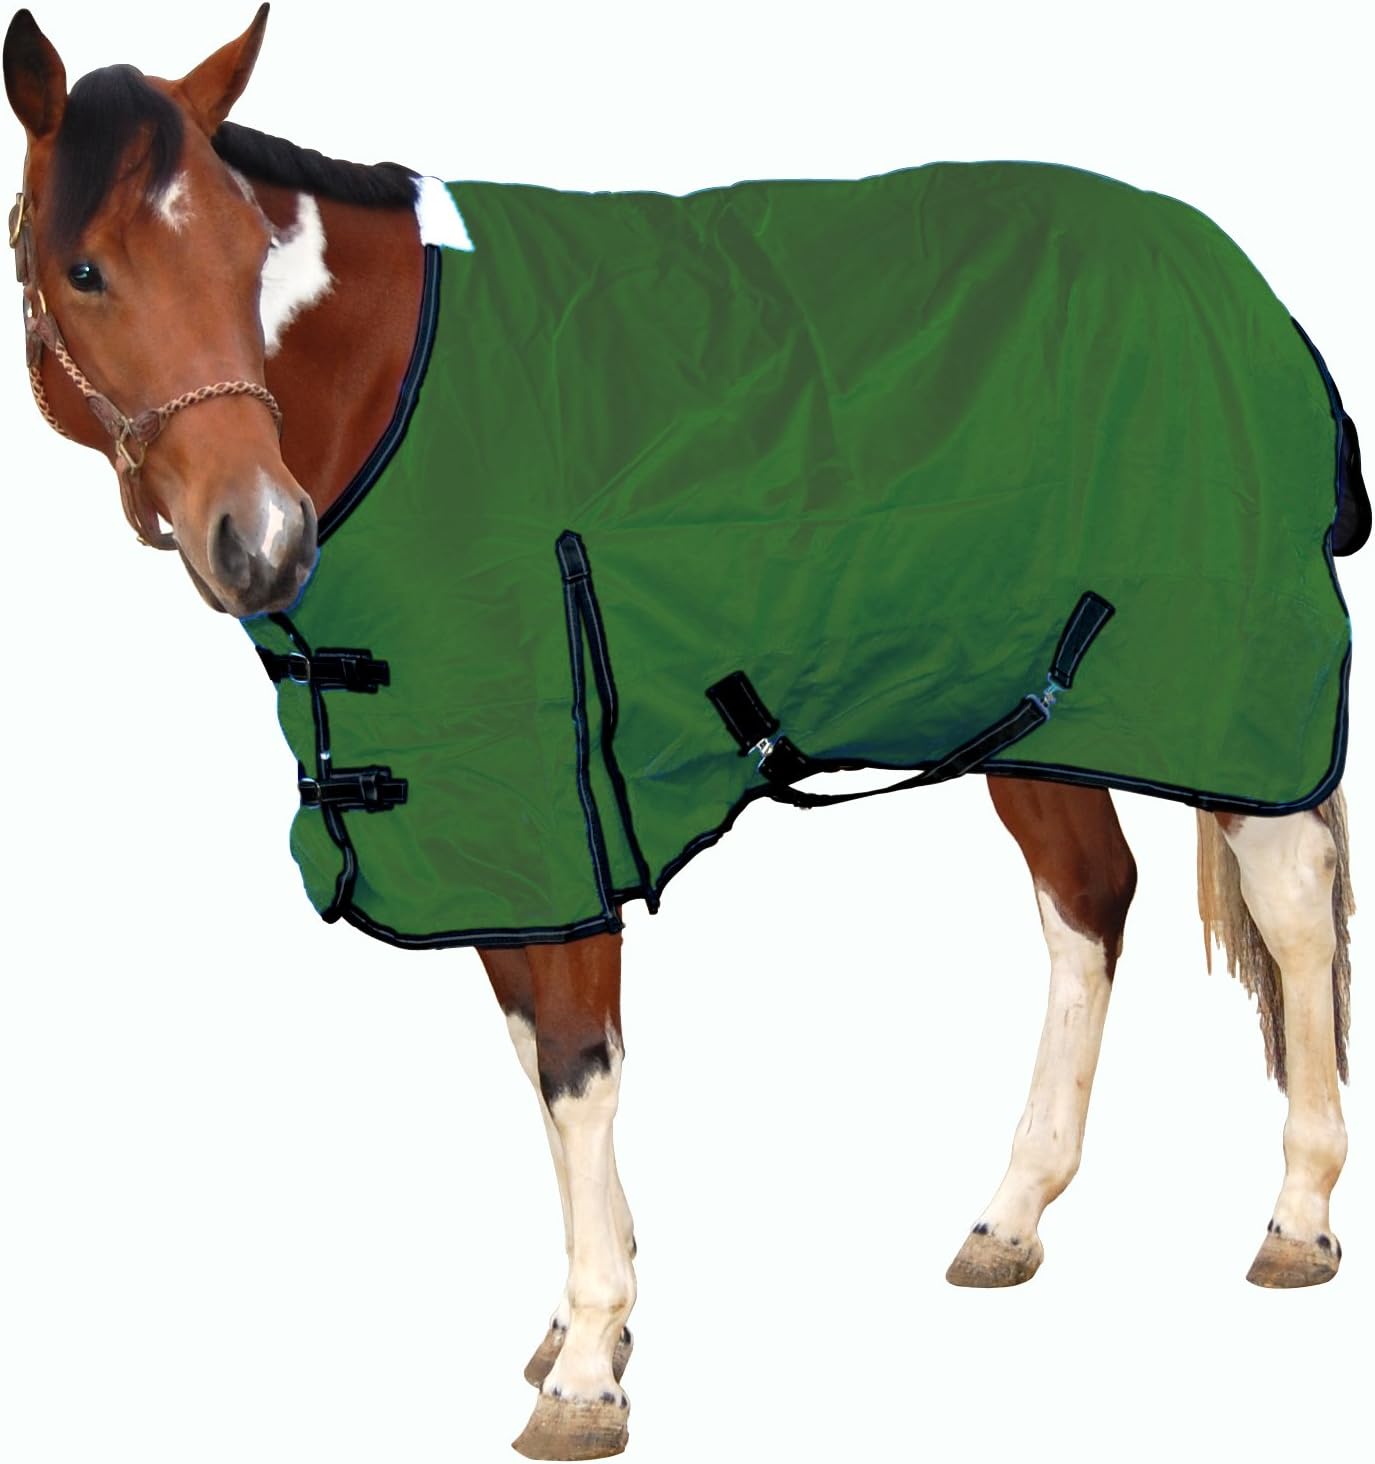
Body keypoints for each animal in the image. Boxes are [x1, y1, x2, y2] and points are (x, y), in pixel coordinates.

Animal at [4, 7, 1364, 1459]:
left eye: (253, 257)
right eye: (84, 269)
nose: (261, 539)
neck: (391, 385)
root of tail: (1238, 280)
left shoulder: (551, 808)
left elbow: (576, 1071)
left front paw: (590, 1365)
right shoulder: (482, 843)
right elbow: (532, 1055)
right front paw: (573, 1327)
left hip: (1228, 683)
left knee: (1289, 909)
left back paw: (1297, 1216)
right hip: (1025, 703)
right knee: (1085, 903)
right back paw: (1011, 1212)